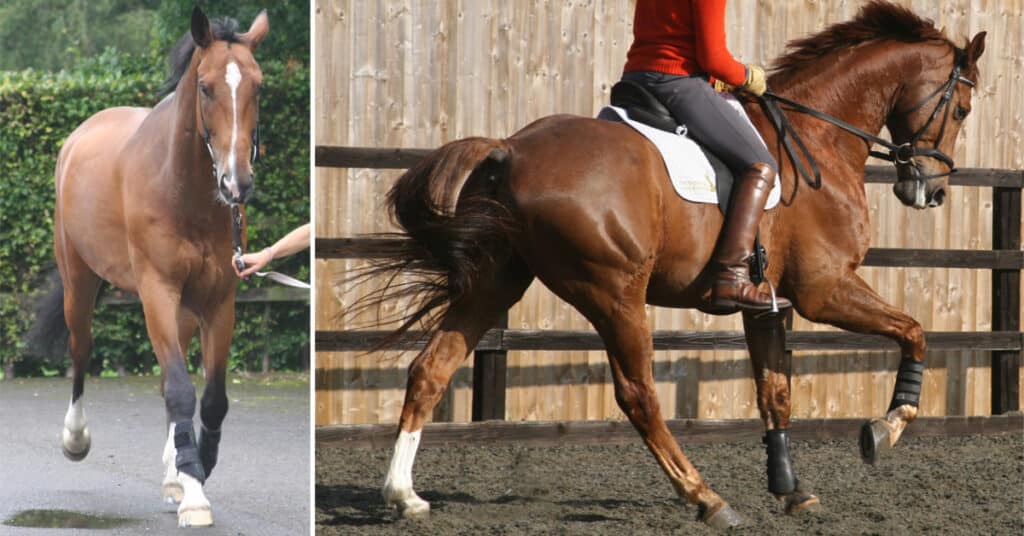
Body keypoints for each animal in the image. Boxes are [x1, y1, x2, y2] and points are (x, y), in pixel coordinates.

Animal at [31, 7, 267, 528]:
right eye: (205, 87)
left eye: (258, 86)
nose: (237, 183)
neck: (182, 188)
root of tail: (79, 136)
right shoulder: (157, 291)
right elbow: (181, 390)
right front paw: (195, 493)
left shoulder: (218, 301)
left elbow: (211, 399)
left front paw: (192, 470)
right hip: (80, 284)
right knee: (81, 350)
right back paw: (76, 438)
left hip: (183, 310)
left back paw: (176, 471)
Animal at [355, 2, 986, 528]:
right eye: (961, 107)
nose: (930, 191)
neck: (820, 135)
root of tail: (509, 148)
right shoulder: (824, 290)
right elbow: (914, 332)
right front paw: (884, 428)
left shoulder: (767, 306)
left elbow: (775, 392)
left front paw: (790, 489)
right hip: (616, 296)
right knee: (639, 396)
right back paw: (706, 499)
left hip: (495, 283)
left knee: (430, 369)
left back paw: (403, 496)